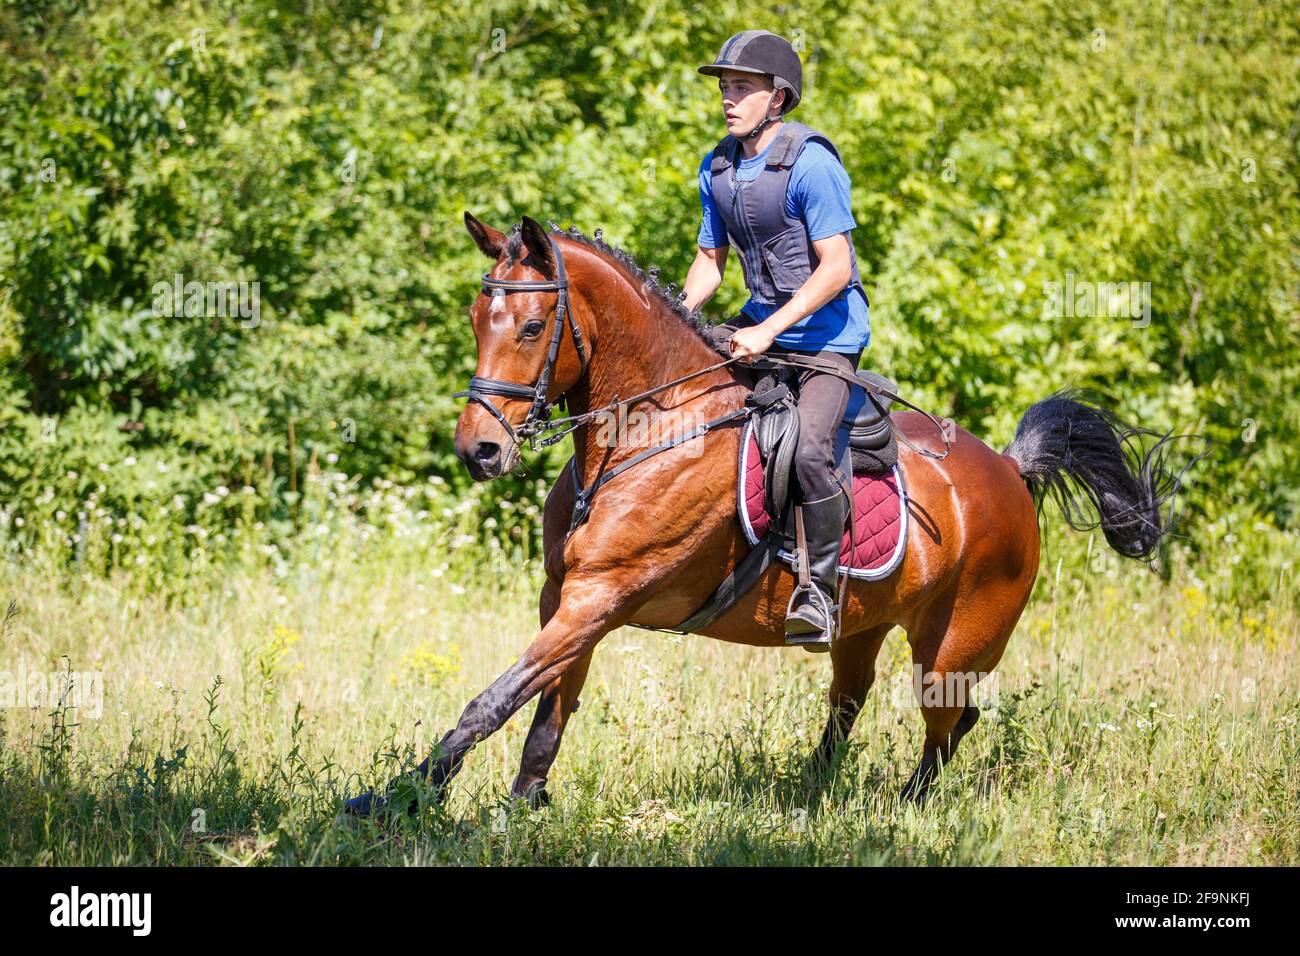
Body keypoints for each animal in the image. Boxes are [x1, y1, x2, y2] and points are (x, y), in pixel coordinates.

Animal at [344, 213, 1191, 815]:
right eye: (473, 319)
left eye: (528, 327)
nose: (479, 450)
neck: (649, 430)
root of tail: (1011, 471)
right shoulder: (570, 597)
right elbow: (549, 707)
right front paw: (522, 807)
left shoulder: (602, 595)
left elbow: (493, 700)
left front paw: (398, 799)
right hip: (862, 627)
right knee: (849, 709)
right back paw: (806, 799)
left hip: (955, 643)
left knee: (951, 722)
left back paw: (907, 809)